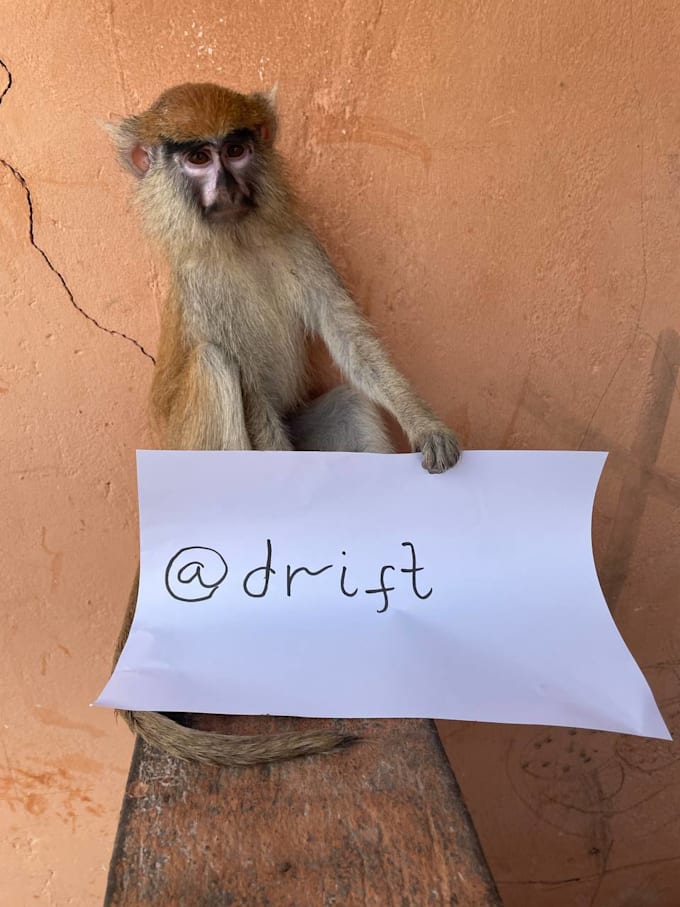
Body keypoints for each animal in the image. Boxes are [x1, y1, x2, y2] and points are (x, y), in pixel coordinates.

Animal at [107, 82, 461, 767]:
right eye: (198, 157)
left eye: (238, 149)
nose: (228, 186)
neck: (237, 238)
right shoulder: (203, 292)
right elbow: (245, 387)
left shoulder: (301, 239)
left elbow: (350, 340)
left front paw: (425, 425)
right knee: (215, 368)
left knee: (347, 406)